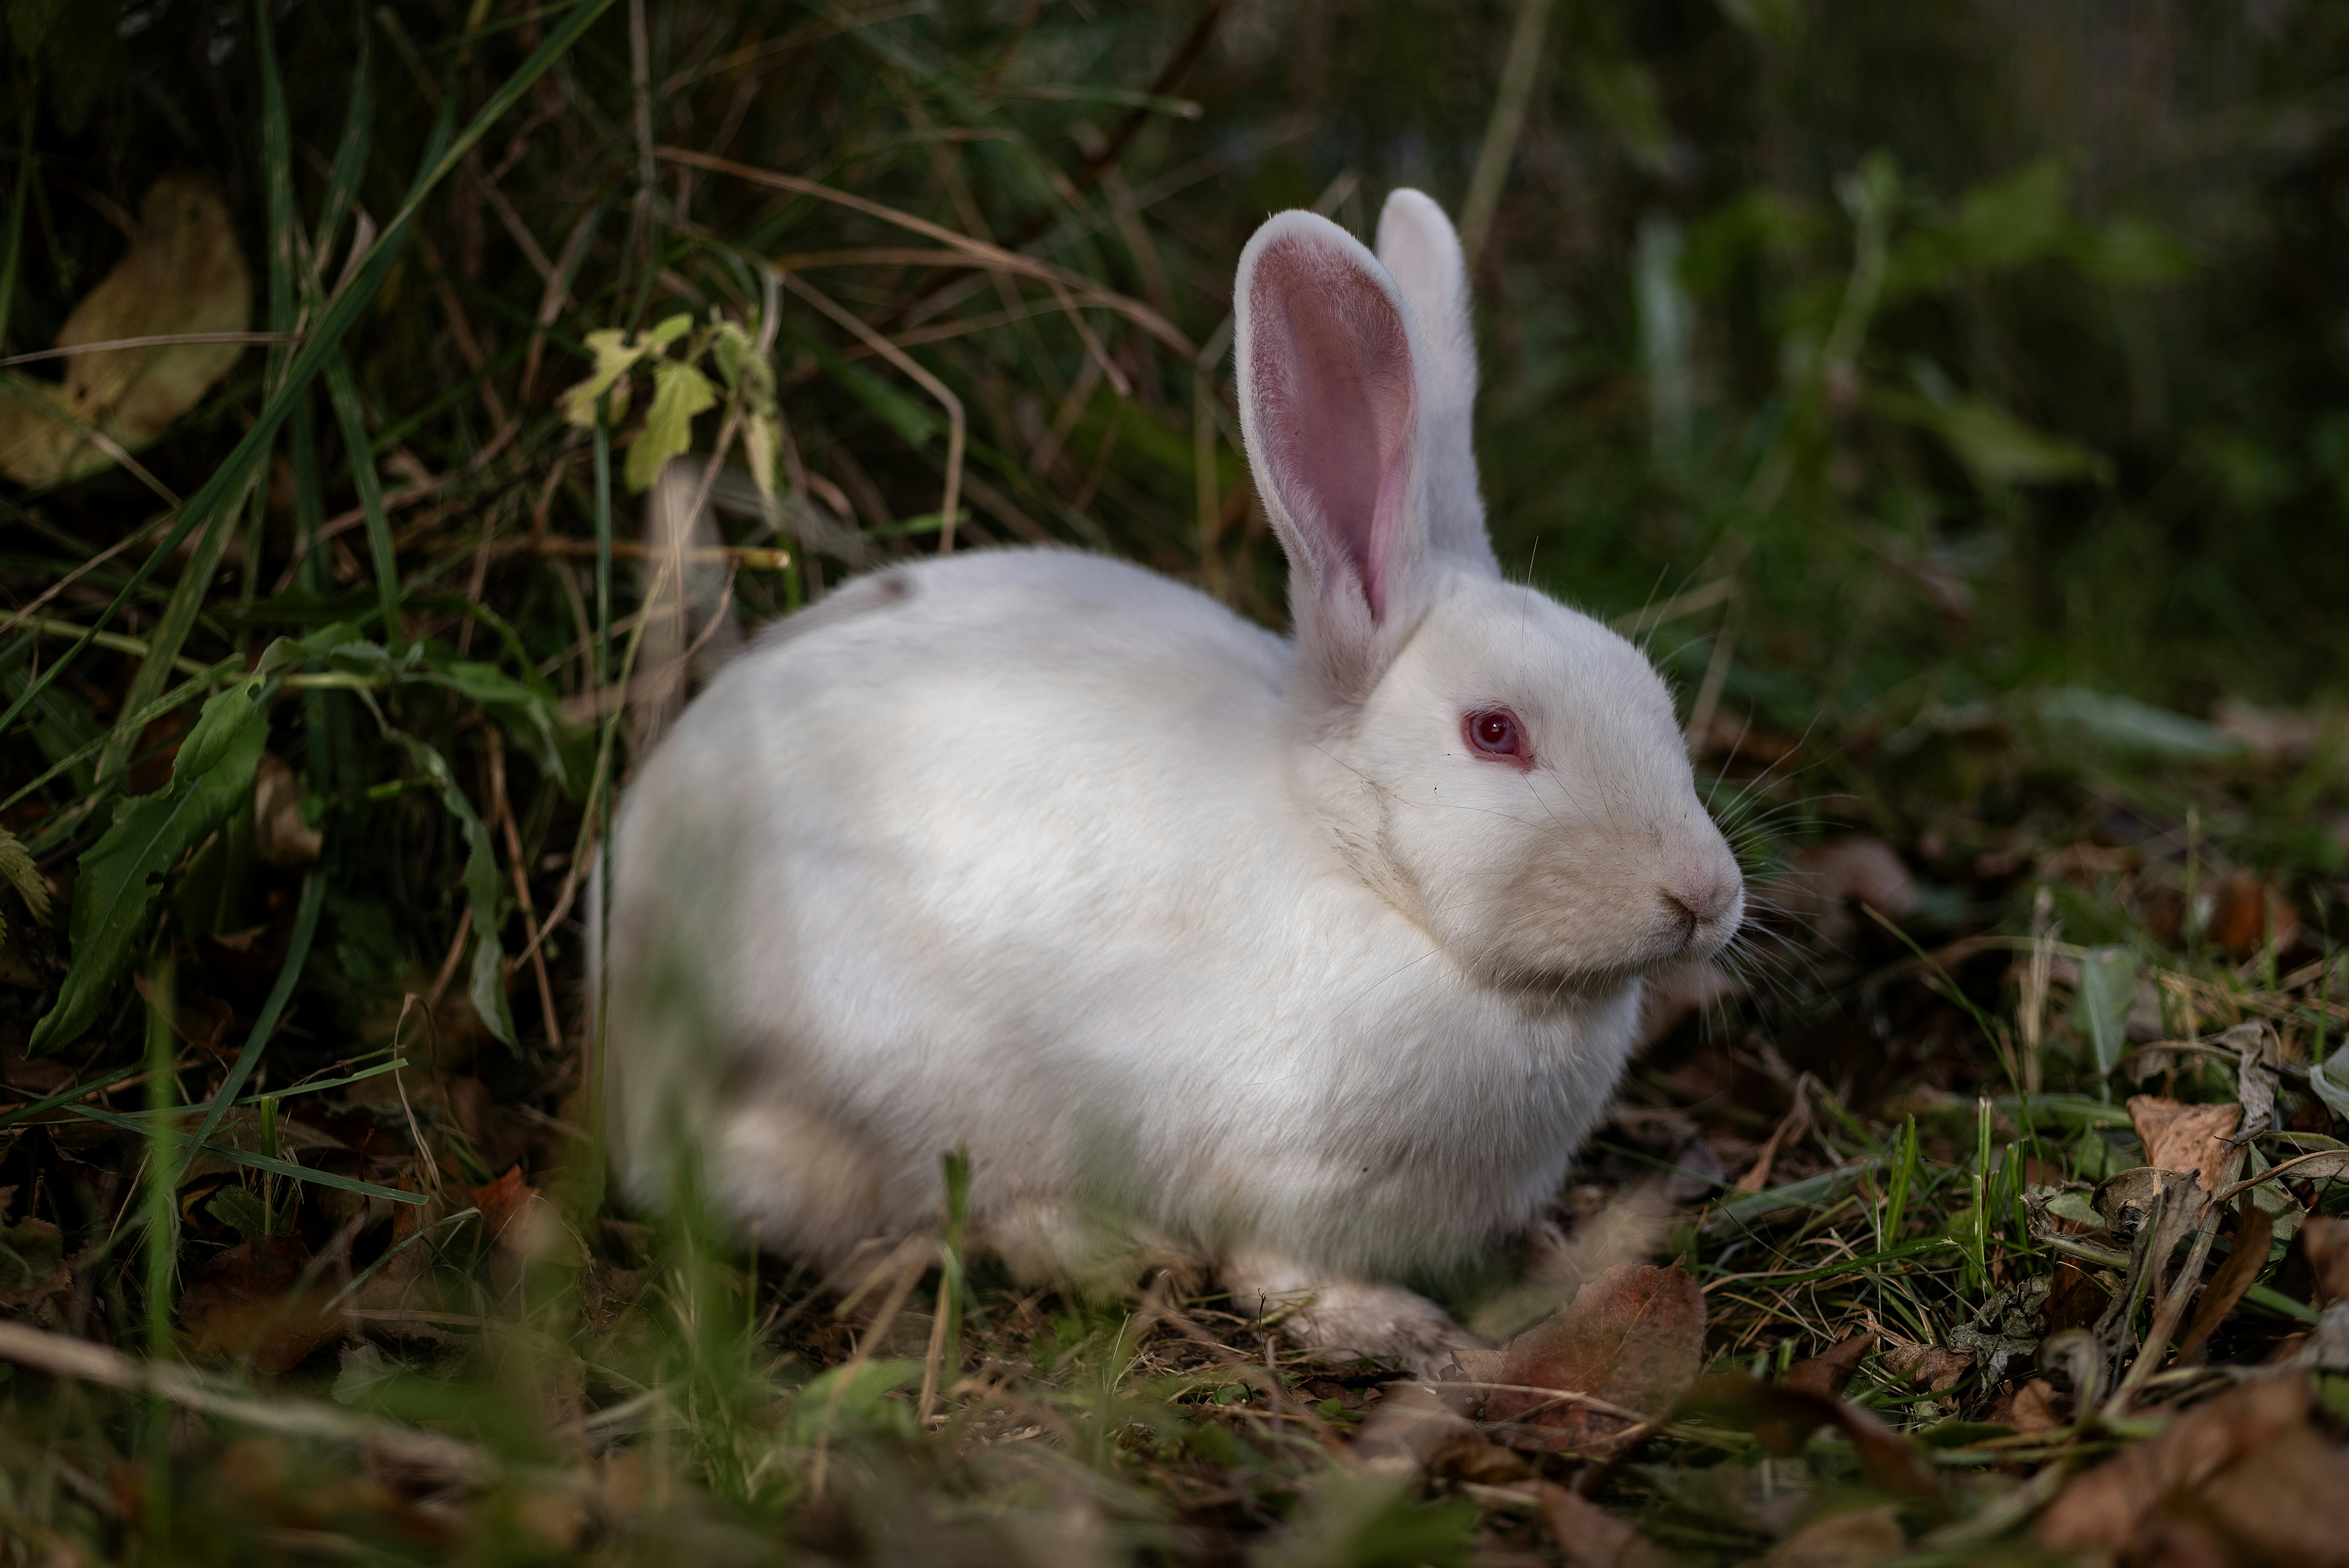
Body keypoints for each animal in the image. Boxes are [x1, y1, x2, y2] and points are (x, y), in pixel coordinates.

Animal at [598, 190, 1745, 1376]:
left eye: (1652, 693)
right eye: (1495, 733)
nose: (1704, 895)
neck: (1362, 874)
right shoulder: (1271, 1177)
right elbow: (1278, 1273)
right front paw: (1397, 1329)